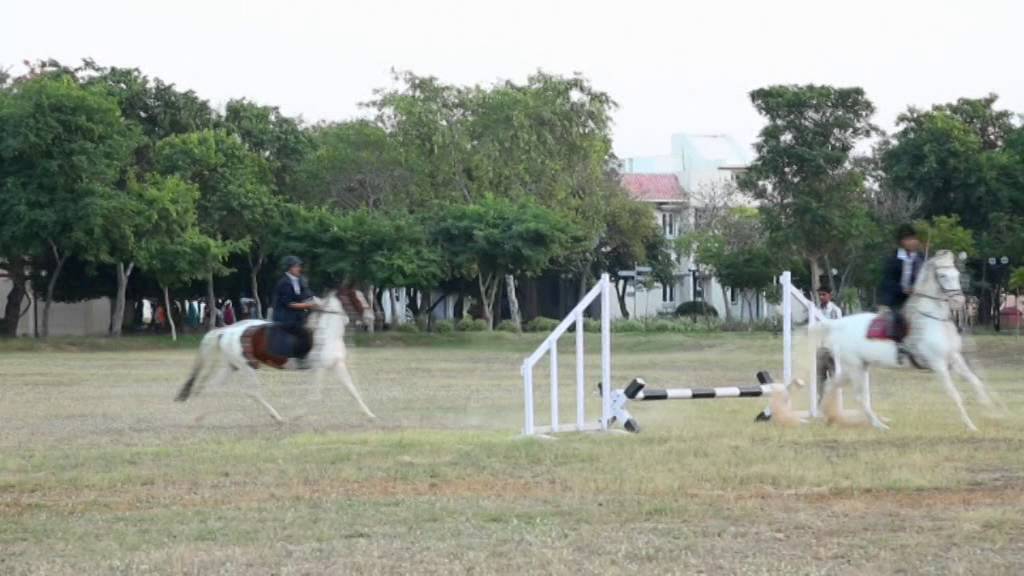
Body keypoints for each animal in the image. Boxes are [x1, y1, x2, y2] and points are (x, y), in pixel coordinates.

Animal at [174, 290, 376, 423]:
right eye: (357, 297)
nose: (371, 317)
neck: (328, 332)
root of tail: (227, 331)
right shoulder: (319, 368)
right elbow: (315, 396)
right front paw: (297, 415)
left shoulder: (337, 365)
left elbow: (352, 390)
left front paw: (370, 414)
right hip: (248, 367)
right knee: (253, 392)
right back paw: (277, 417)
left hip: (232, 366)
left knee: (212, 387)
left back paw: (199, 416)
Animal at [813, 250, 1000, 431]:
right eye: (943, 275)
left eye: (956, 273)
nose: (959, 301)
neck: (934, 321)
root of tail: (837, 324)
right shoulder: (938, 364)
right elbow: (955, 395)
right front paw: (971, 426)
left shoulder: (954, 358)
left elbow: (976, 382)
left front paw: (992, 411)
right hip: (855, 367)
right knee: (860, 397)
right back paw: (879, 426)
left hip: (857, 367)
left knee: (832, 385)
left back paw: (827, 417)